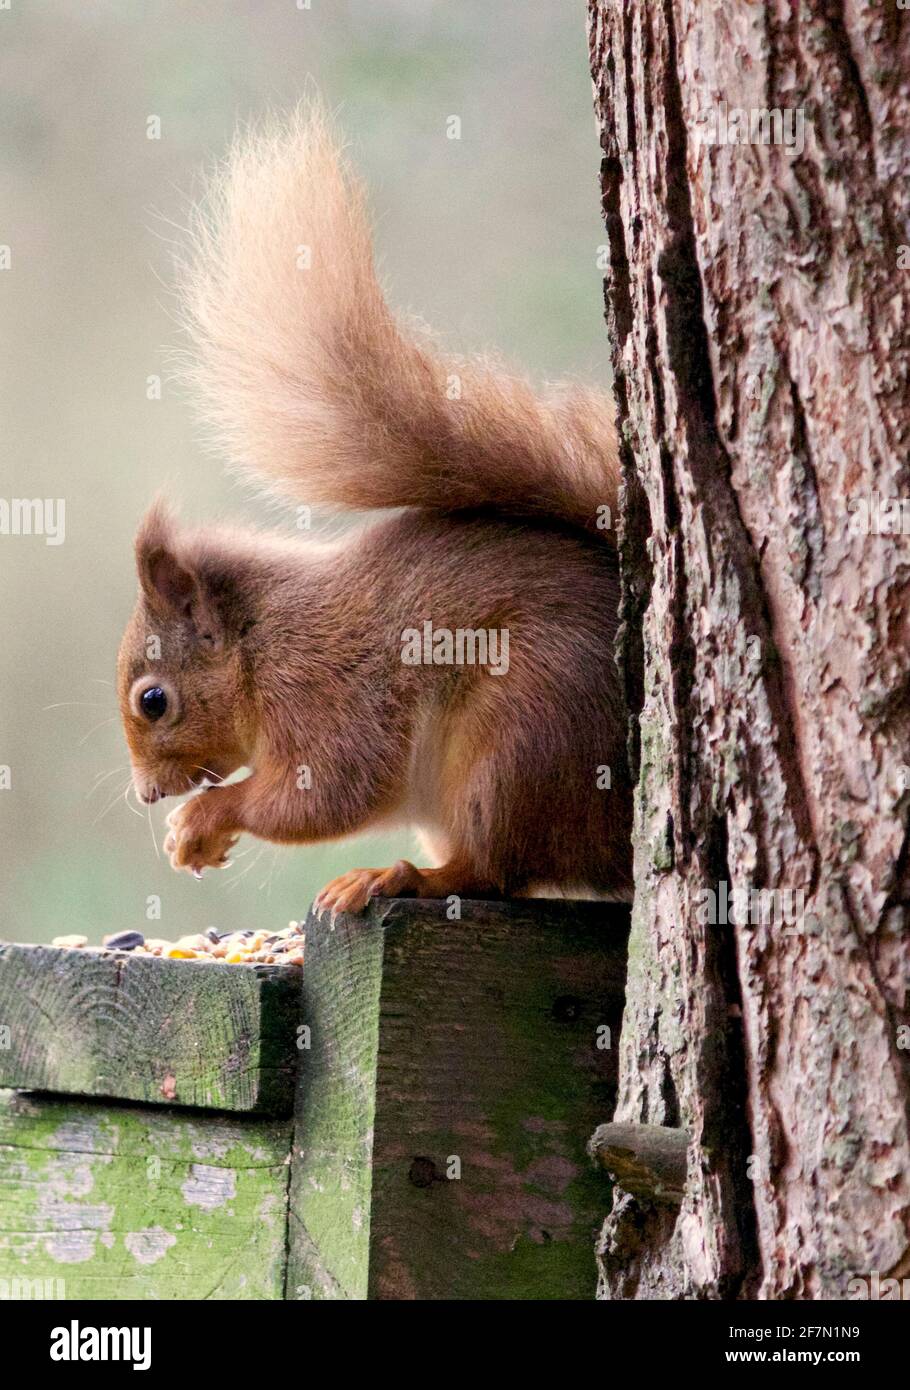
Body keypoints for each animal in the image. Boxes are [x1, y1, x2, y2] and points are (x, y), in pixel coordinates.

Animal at [116, 104, 632, 916]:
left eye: (154, 700)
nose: (146, 796)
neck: (259, 646)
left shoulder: (322, 693)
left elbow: (326, 794)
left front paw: (203, 818)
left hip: (521, 739)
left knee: (496, 867)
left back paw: (399, 877)